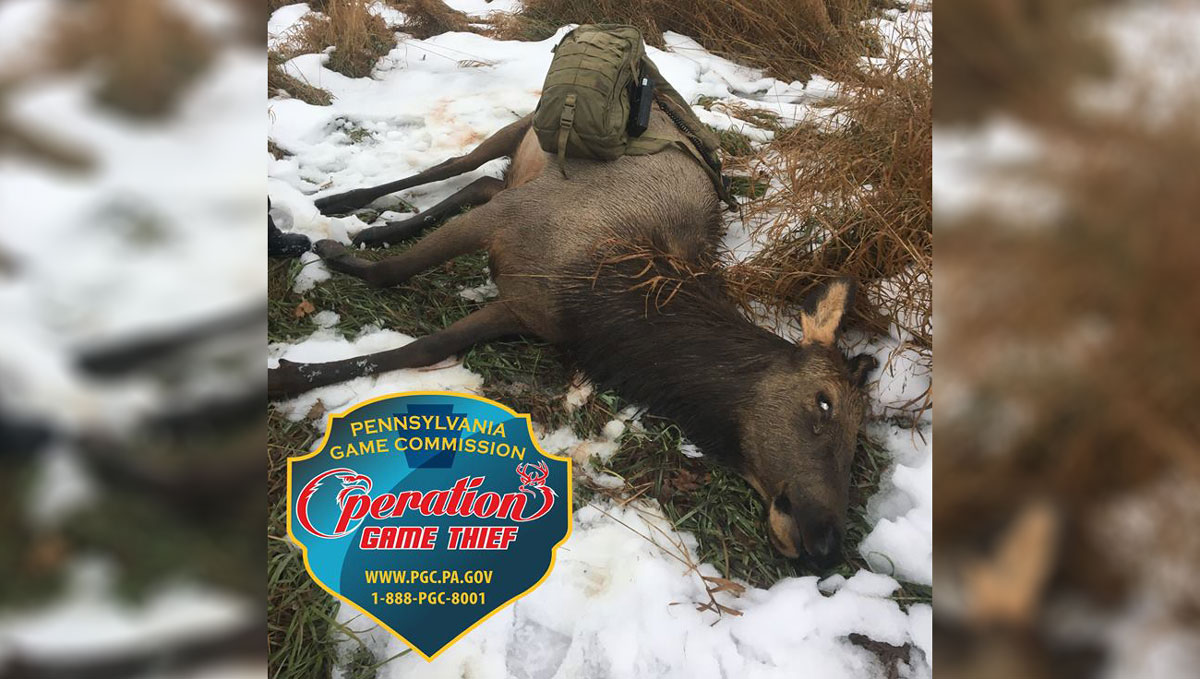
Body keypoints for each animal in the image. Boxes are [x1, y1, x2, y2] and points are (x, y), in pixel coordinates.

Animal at [268, 108, 879, 569]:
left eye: (857, 443)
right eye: (823, 404)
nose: (827, 543)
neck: (605, 300)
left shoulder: (528, 308)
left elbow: (425, 347)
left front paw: (293, 372)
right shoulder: (510, 222)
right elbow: (391, 274)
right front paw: (329, 268)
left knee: (483, 182)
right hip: (521, 128)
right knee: (460, 164)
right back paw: (341, 207)